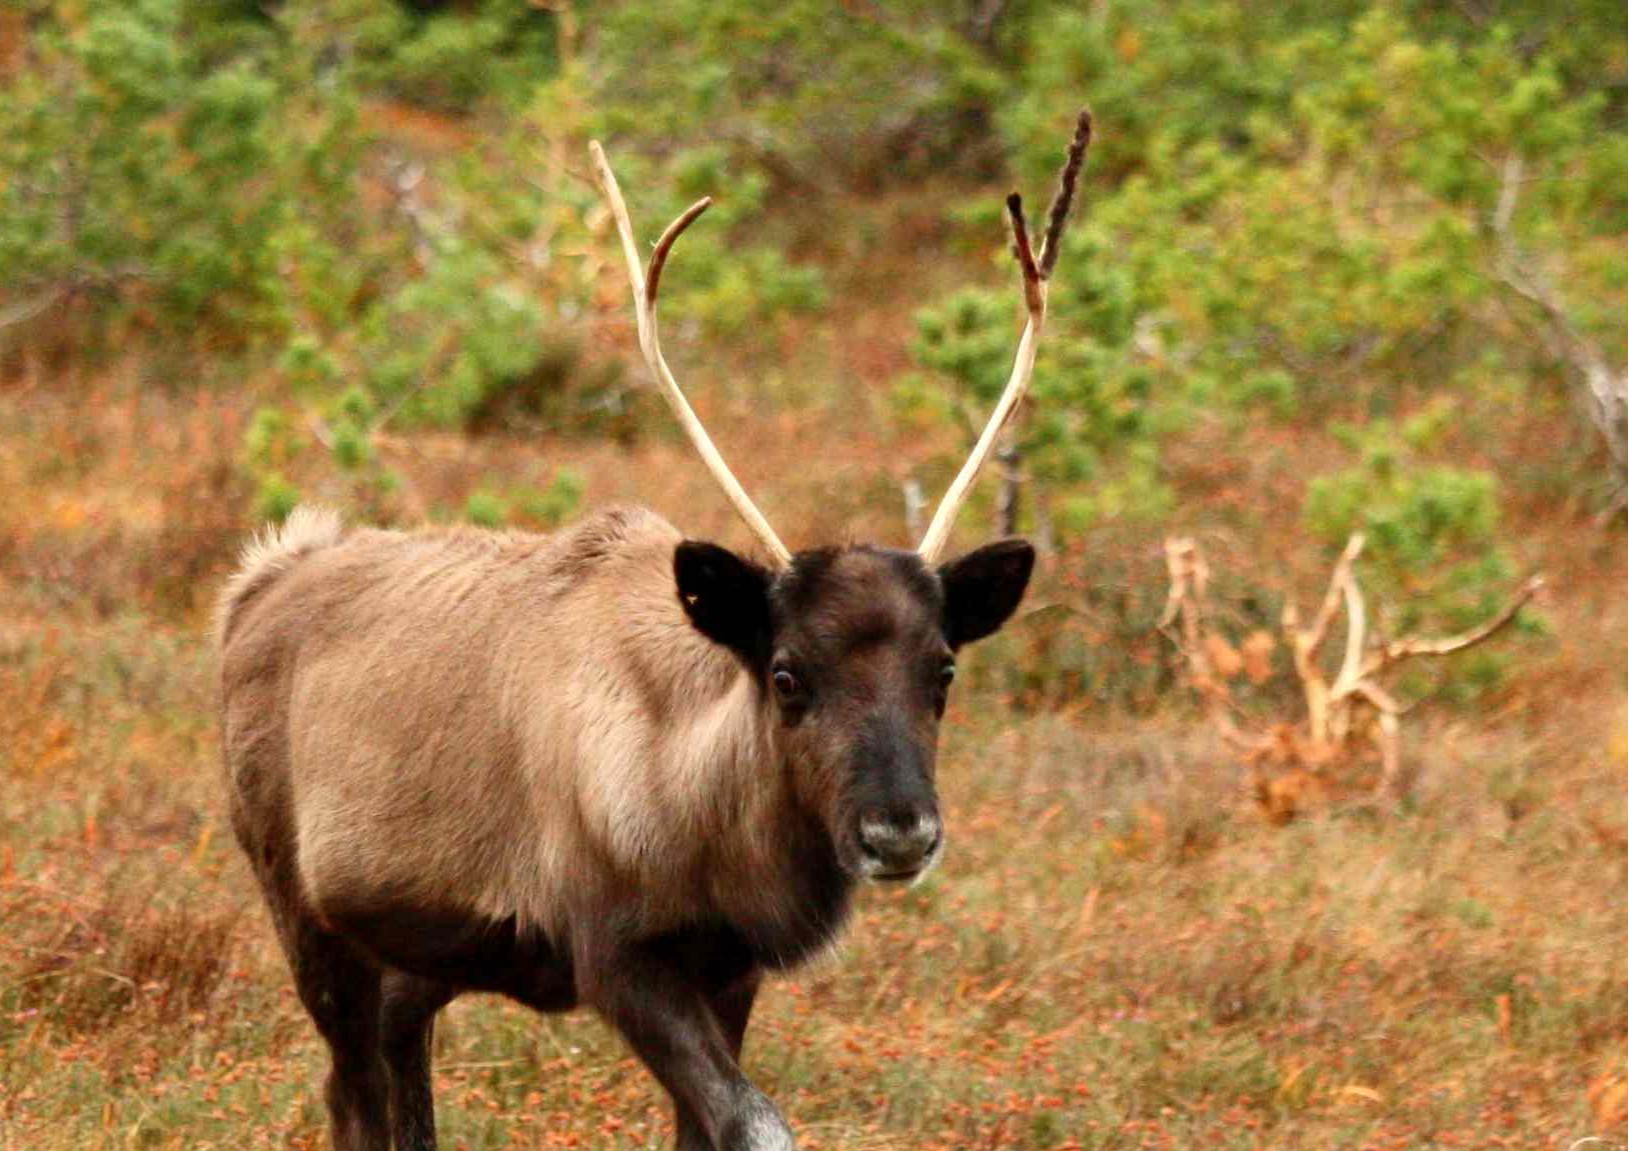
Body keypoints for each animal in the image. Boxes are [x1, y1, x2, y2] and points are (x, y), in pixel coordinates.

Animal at [217, 110, 1092, 1151]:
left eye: (945, 670)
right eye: (786, 673)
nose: (900, 832)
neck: (699, 814)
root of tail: (252, 584)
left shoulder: (732, 970)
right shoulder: (615, 954)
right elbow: (760, 1125)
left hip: (425, 946)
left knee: (399, 1053)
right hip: (300, 903)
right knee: (348, 1088)